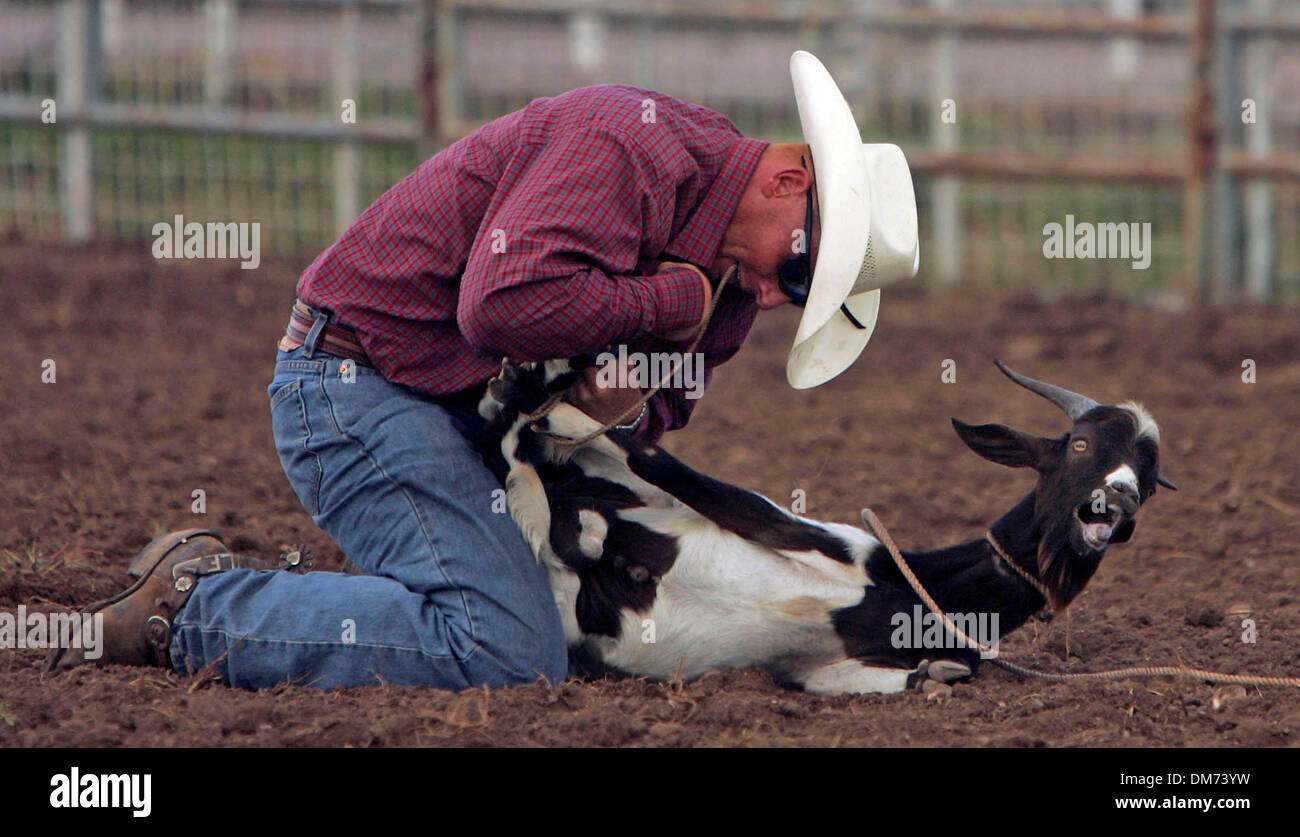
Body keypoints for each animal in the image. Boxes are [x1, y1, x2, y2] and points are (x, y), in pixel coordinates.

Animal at [478, 359, 1174, 695]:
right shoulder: (798, 529)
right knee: (531, 454)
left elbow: (929, 678)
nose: (1119, 498)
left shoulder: (805, 667)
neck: (917, 587)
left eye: (1149, 473)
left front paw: (934, 677)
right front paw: (547, 406)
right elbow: (652, 456)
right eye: (1080, 445)